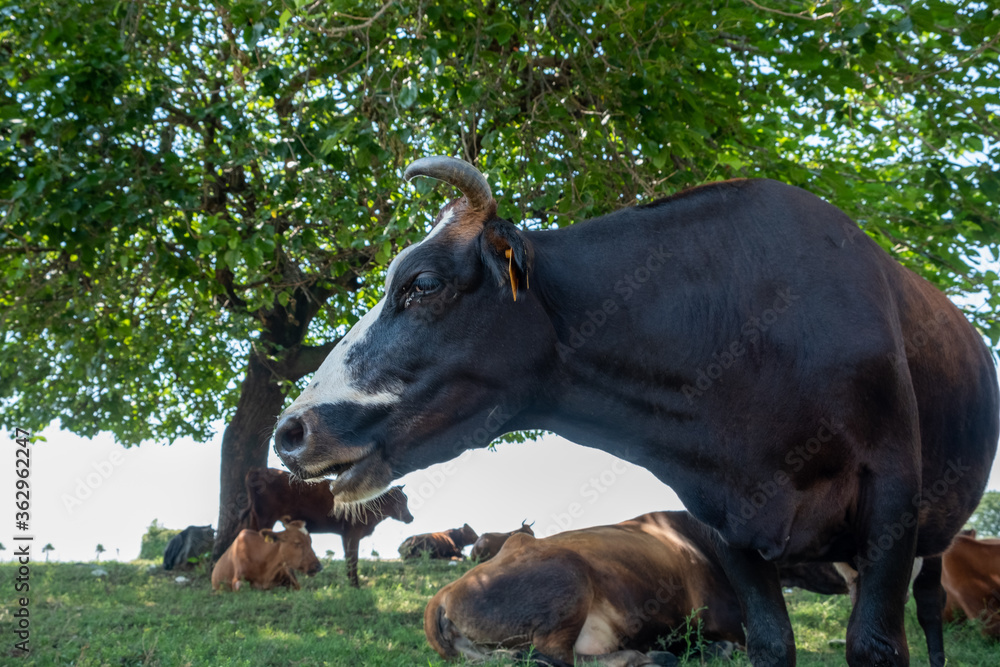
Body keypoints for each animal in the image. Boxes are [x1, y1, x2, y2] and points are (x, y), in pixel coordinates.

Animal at [239, 467, 413, 587]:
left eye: (406, 500)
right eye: (397, 501)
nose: (410, 517)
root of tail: (257, 470)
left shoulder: (346, 534)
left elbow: (349, 559)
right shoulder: (352, 533)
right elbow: (353, 559)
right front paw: (355, 585)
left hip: (256, 516)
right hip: (265, 516)